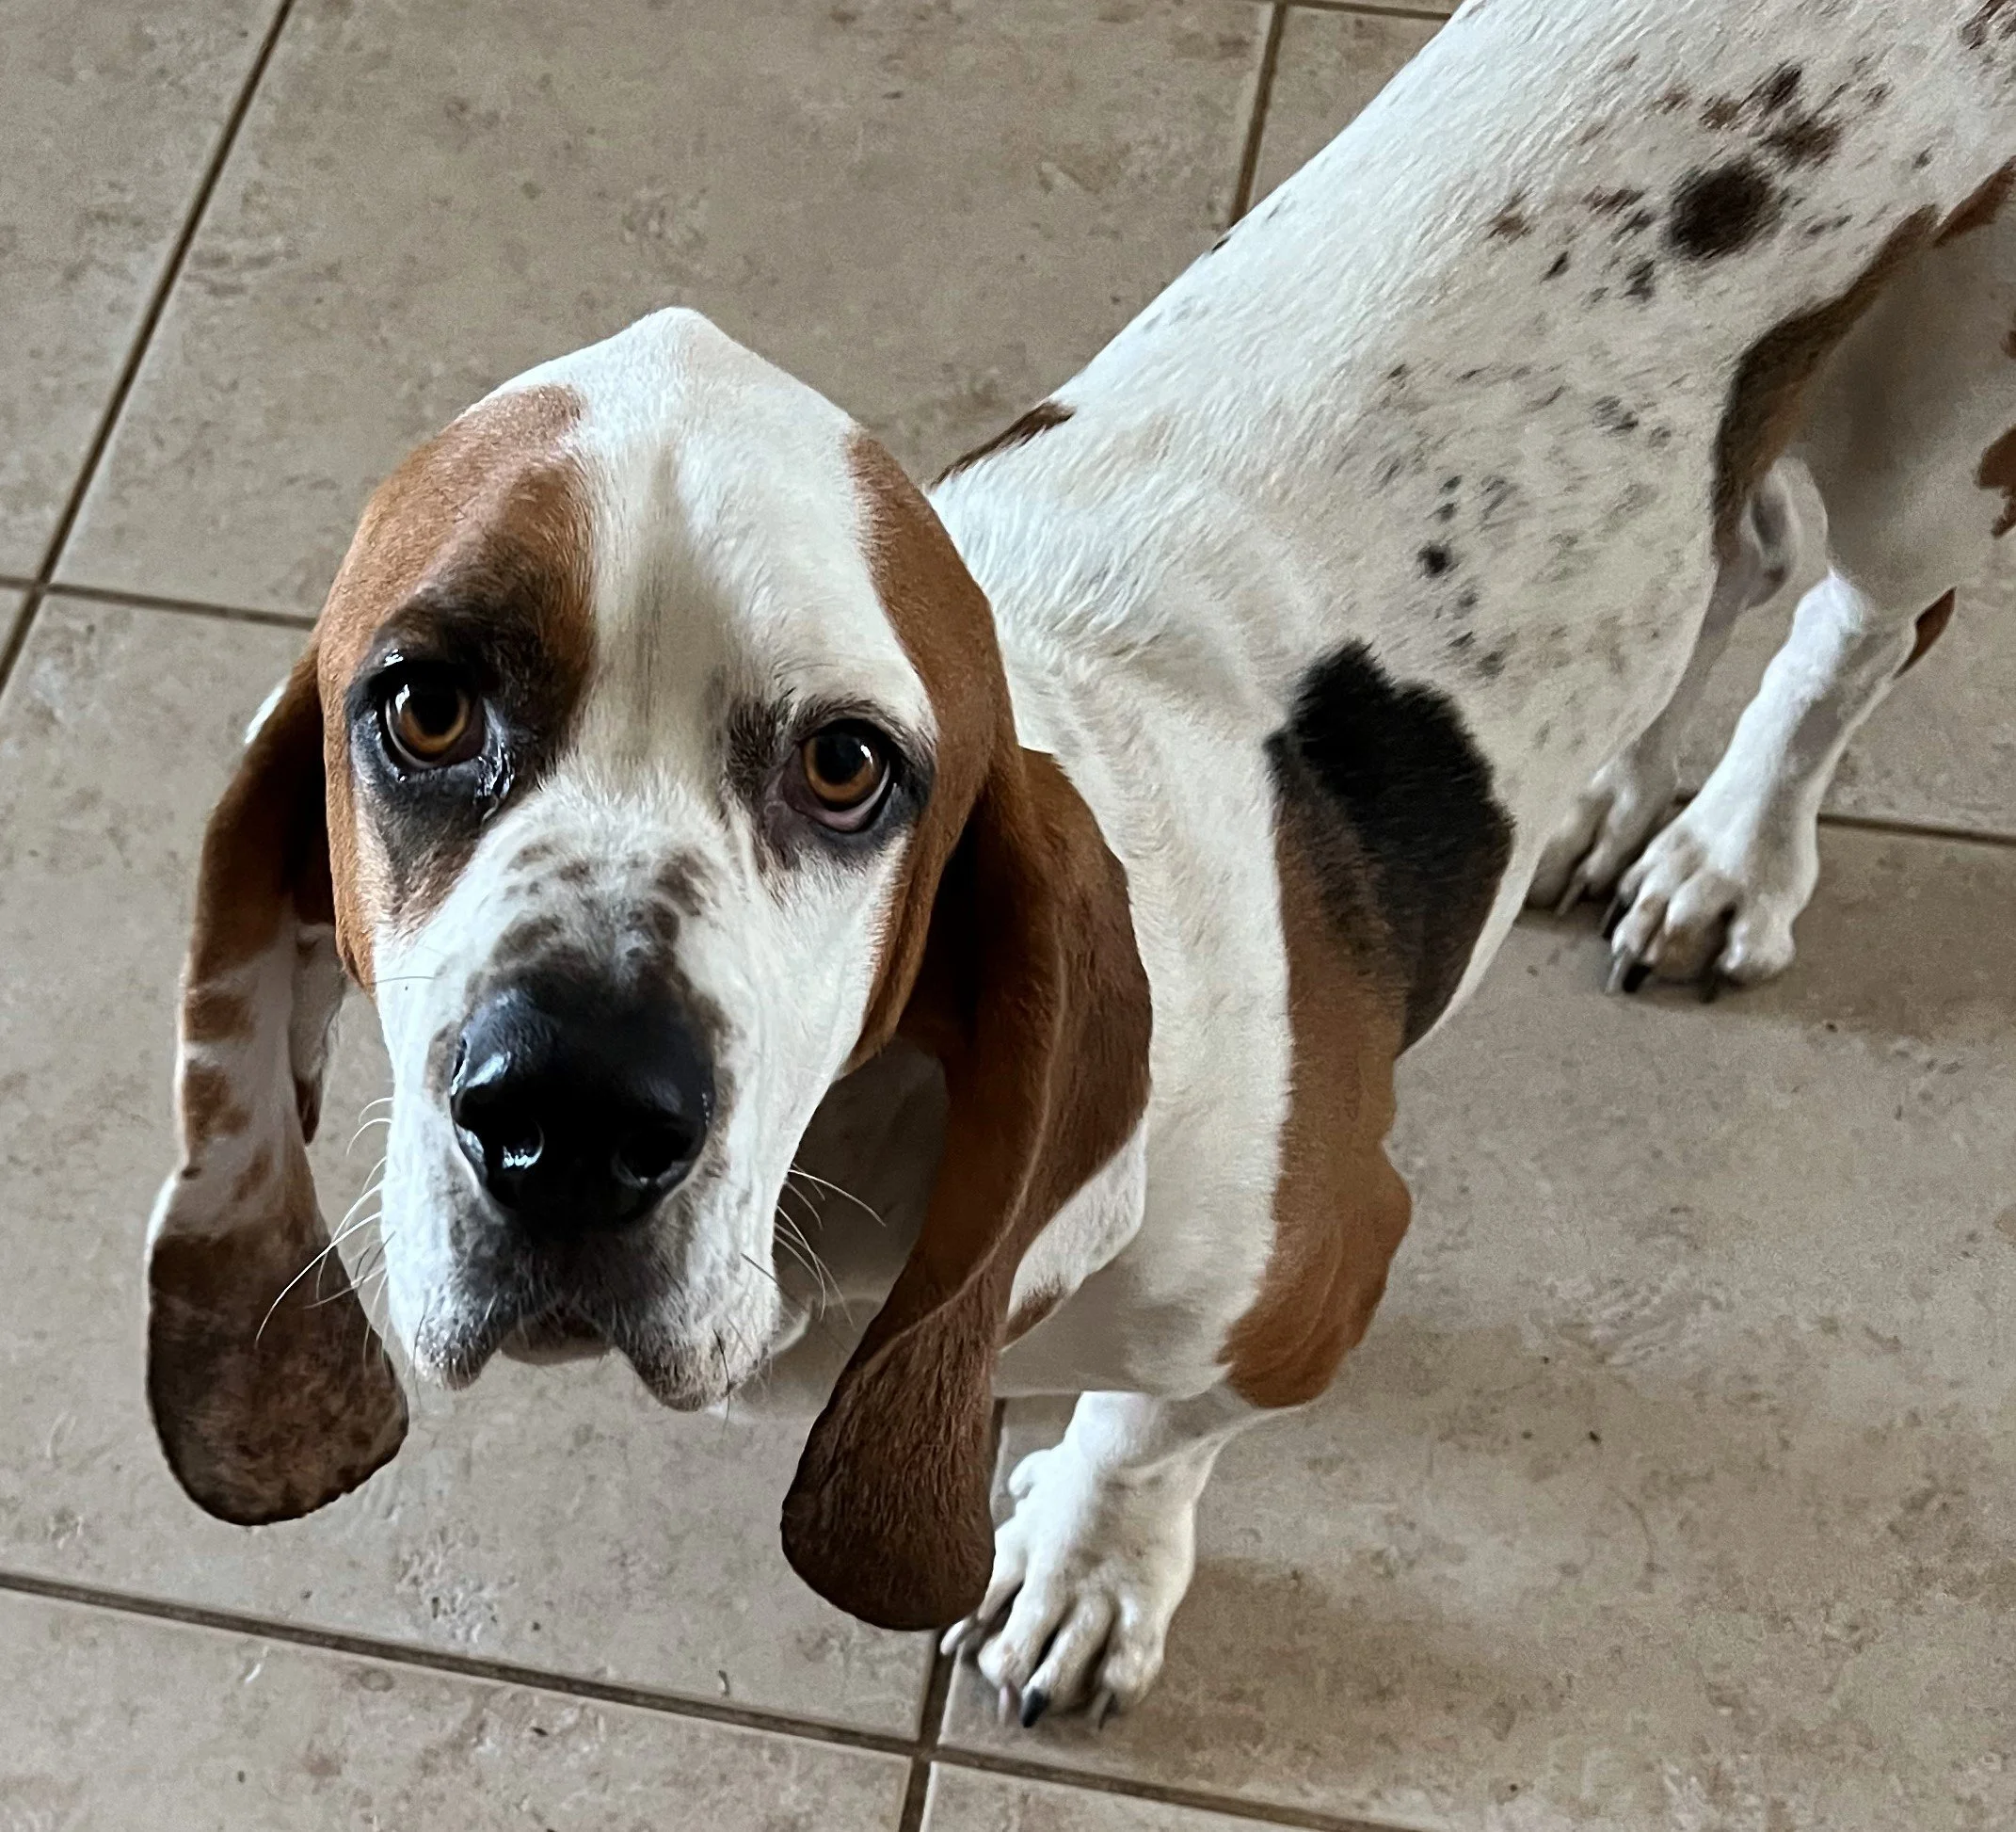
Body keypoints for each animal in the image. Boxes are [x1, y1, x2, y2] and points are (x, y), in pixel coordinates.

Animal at [144, 0, 2016, 1725]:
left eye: (847, 765)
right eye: (424, 706)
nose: (572, 1119)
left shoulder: (1317, 1278)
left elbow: (1151, 1432)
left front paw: (1084, 1571)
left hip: (1928, 446)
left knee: (1858, 625)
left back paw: (1728, 855)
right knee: (1739, 541)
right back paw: (1621, 789)